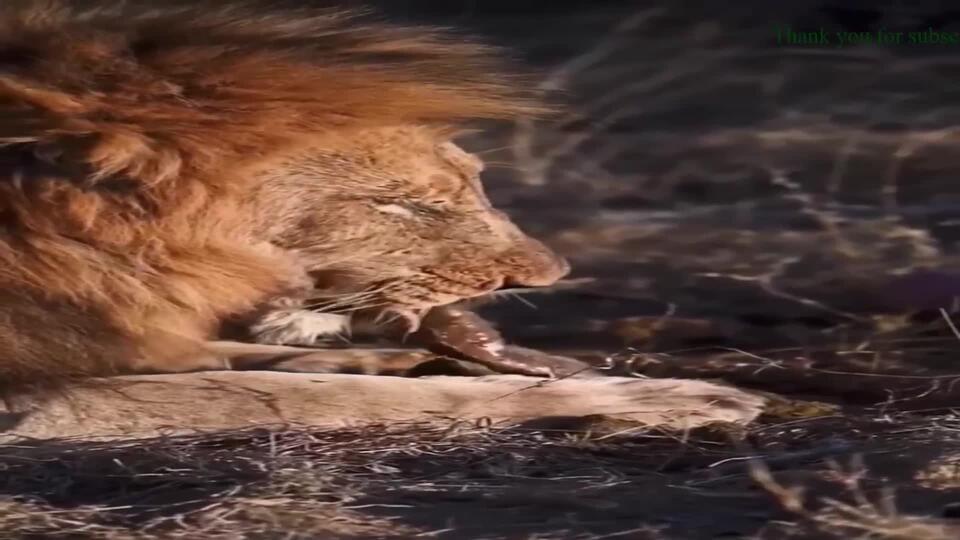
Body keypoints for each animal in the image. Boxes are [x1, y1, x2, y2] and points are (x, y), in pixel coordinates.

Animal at [0, 0, 766, 439]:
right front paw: (679, 396)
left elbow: (214, 356)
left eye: (473, 181)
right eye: (401, 204)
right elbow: (278, 393)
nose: (553, 276)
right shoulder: (25, 408)